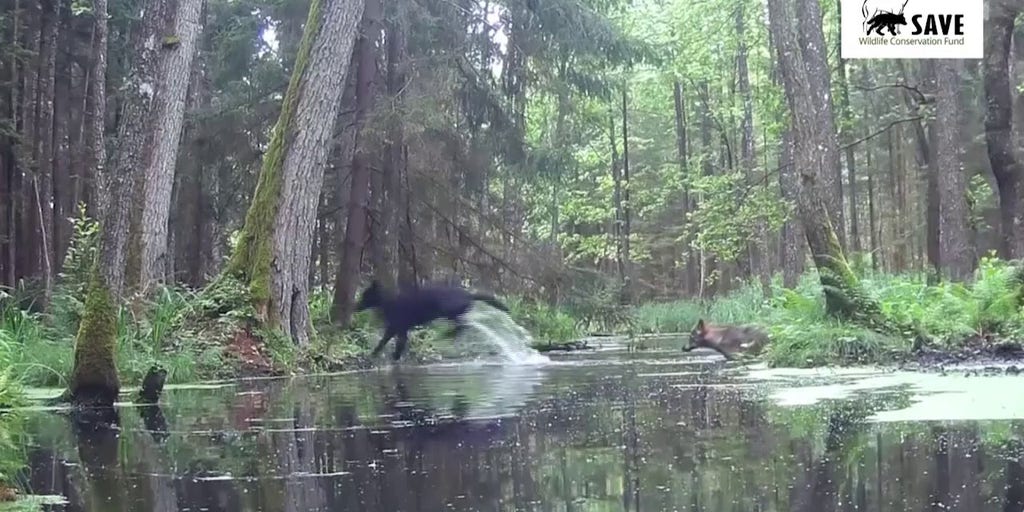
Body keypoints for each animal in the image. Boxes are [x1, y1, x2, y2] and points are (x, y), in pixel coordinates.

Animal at [355, 280, 510, 361]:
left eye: (365, 296)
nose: (356, 306)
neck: (388, 304)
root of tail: (469, 295)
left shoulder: (397, 328)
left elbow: (390, 344)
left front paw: (385, 357)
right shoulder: (397, 329)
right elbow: (387, 342)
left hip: (448, 310)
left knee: (462, 324)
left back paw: (449, 334)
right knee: (462, 324)